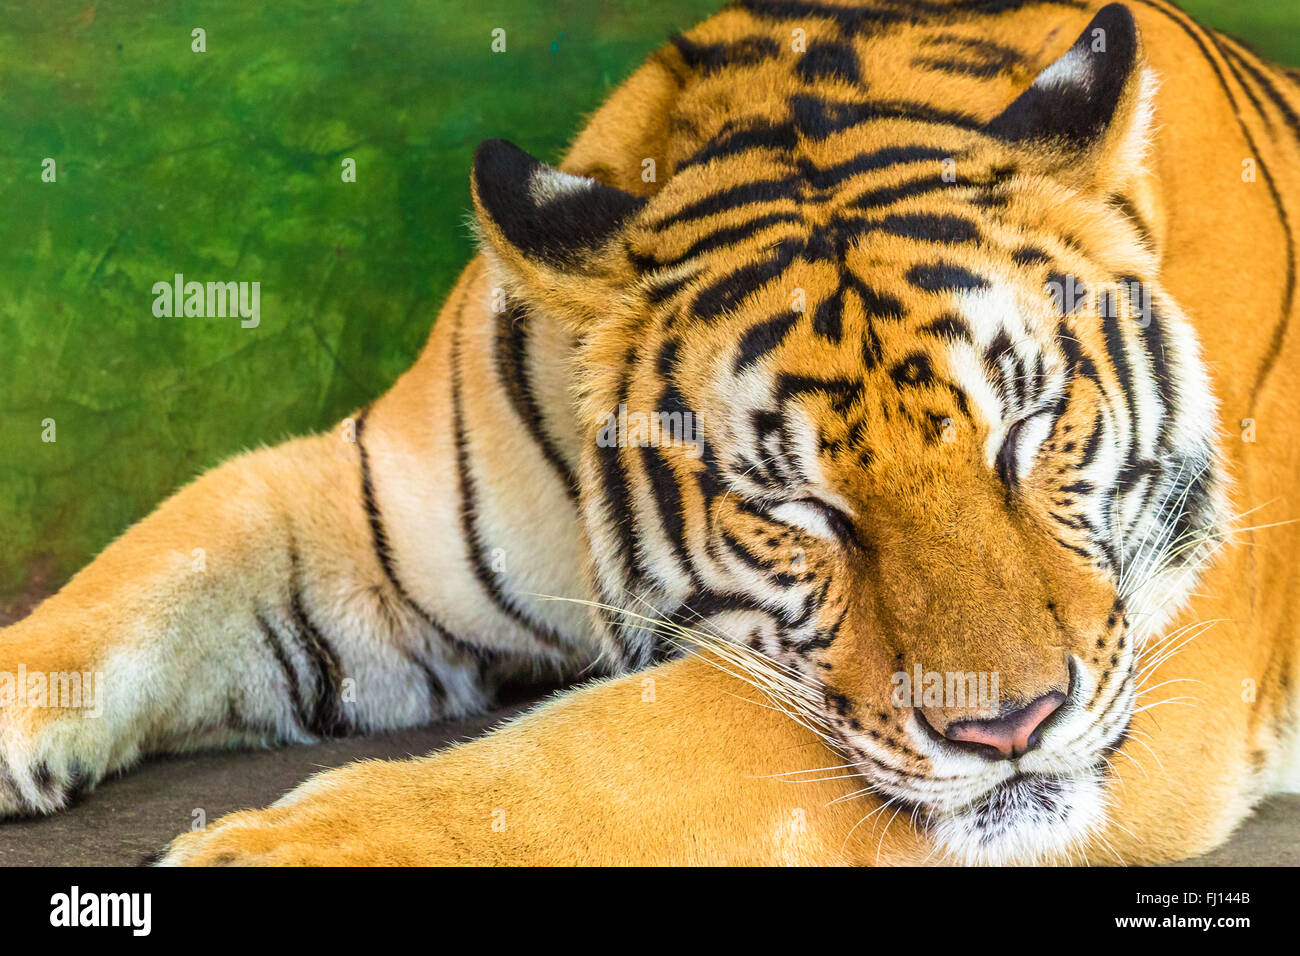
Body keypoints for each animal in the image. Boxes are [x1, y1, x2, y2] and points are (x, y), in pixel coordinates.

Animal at [3, 0, 1298, 866]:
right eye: (793, 507)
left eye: (1025, 431)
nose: (1010, 725)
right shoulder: (360, 510)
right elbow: (142, 578)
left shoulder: (1167, 659)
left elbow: (636, 747)